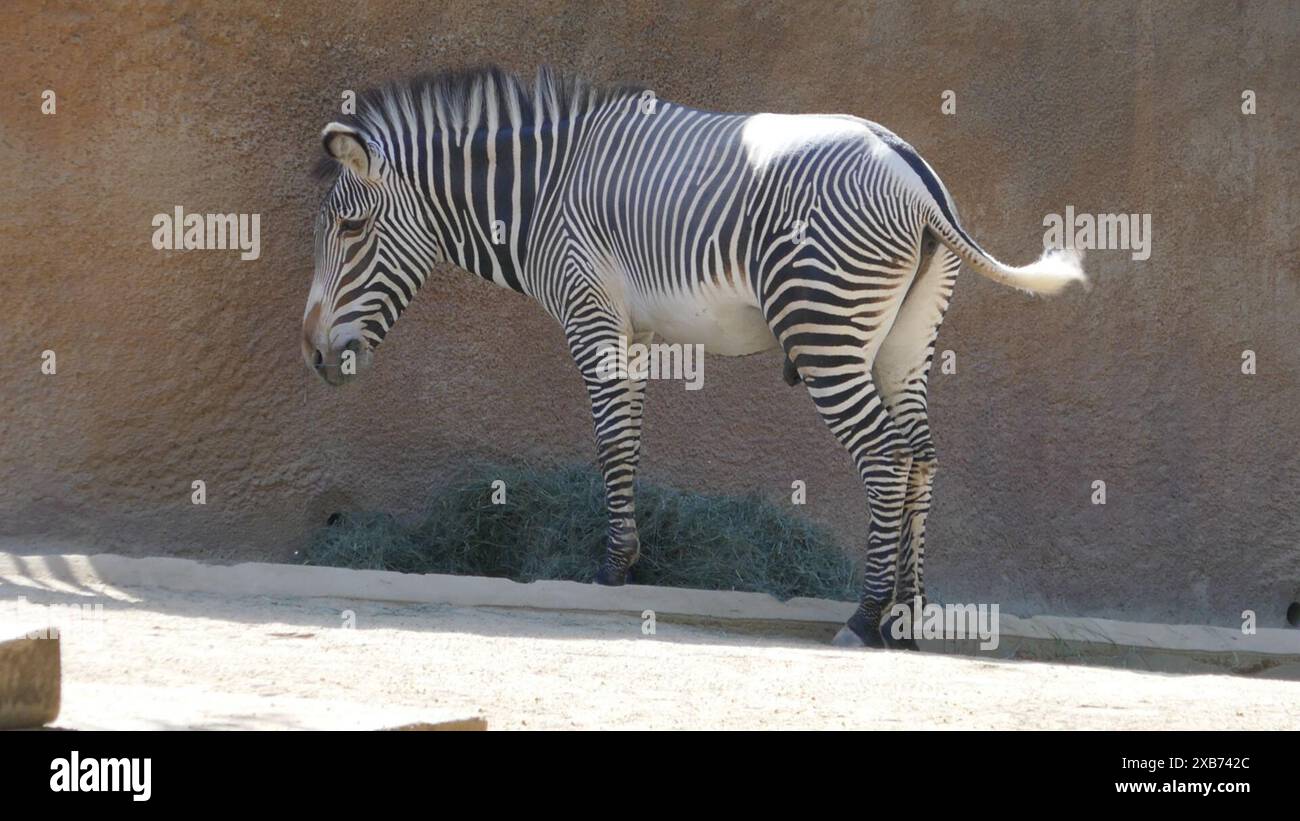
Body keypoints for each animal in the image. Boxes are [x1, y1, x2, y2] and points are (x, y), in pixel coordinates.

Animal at [302, 66, 1085, 649]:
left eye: (351, 228)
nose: (312, 353)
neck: (543, 194)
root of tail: (912, 172)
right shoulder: (638, 332)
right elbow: (630, 442)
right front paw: (630, 564)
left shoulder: (591, 314)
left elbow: (610, 443)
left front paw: (610, 570)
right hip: (904, 343)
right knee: (921, 454)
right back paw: (910, 616)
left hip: (825, 329)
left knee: (887, 455)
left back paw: (865, 619)